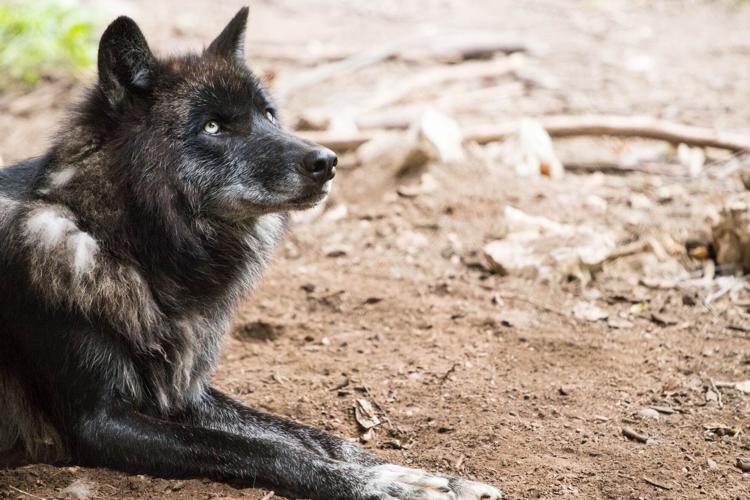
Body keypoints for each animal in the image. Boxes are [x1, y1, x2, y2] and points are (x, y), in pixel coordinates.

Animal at [0, 7, 501, 499]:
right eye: (213, 127)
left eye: (269, 115)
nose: (327, 161)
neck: (137, 250)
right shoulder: (97, 422)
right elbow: (261, 450)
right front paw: (384, 487)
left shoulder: (183, 393)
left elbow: (308, 435)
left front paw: (416, 475)